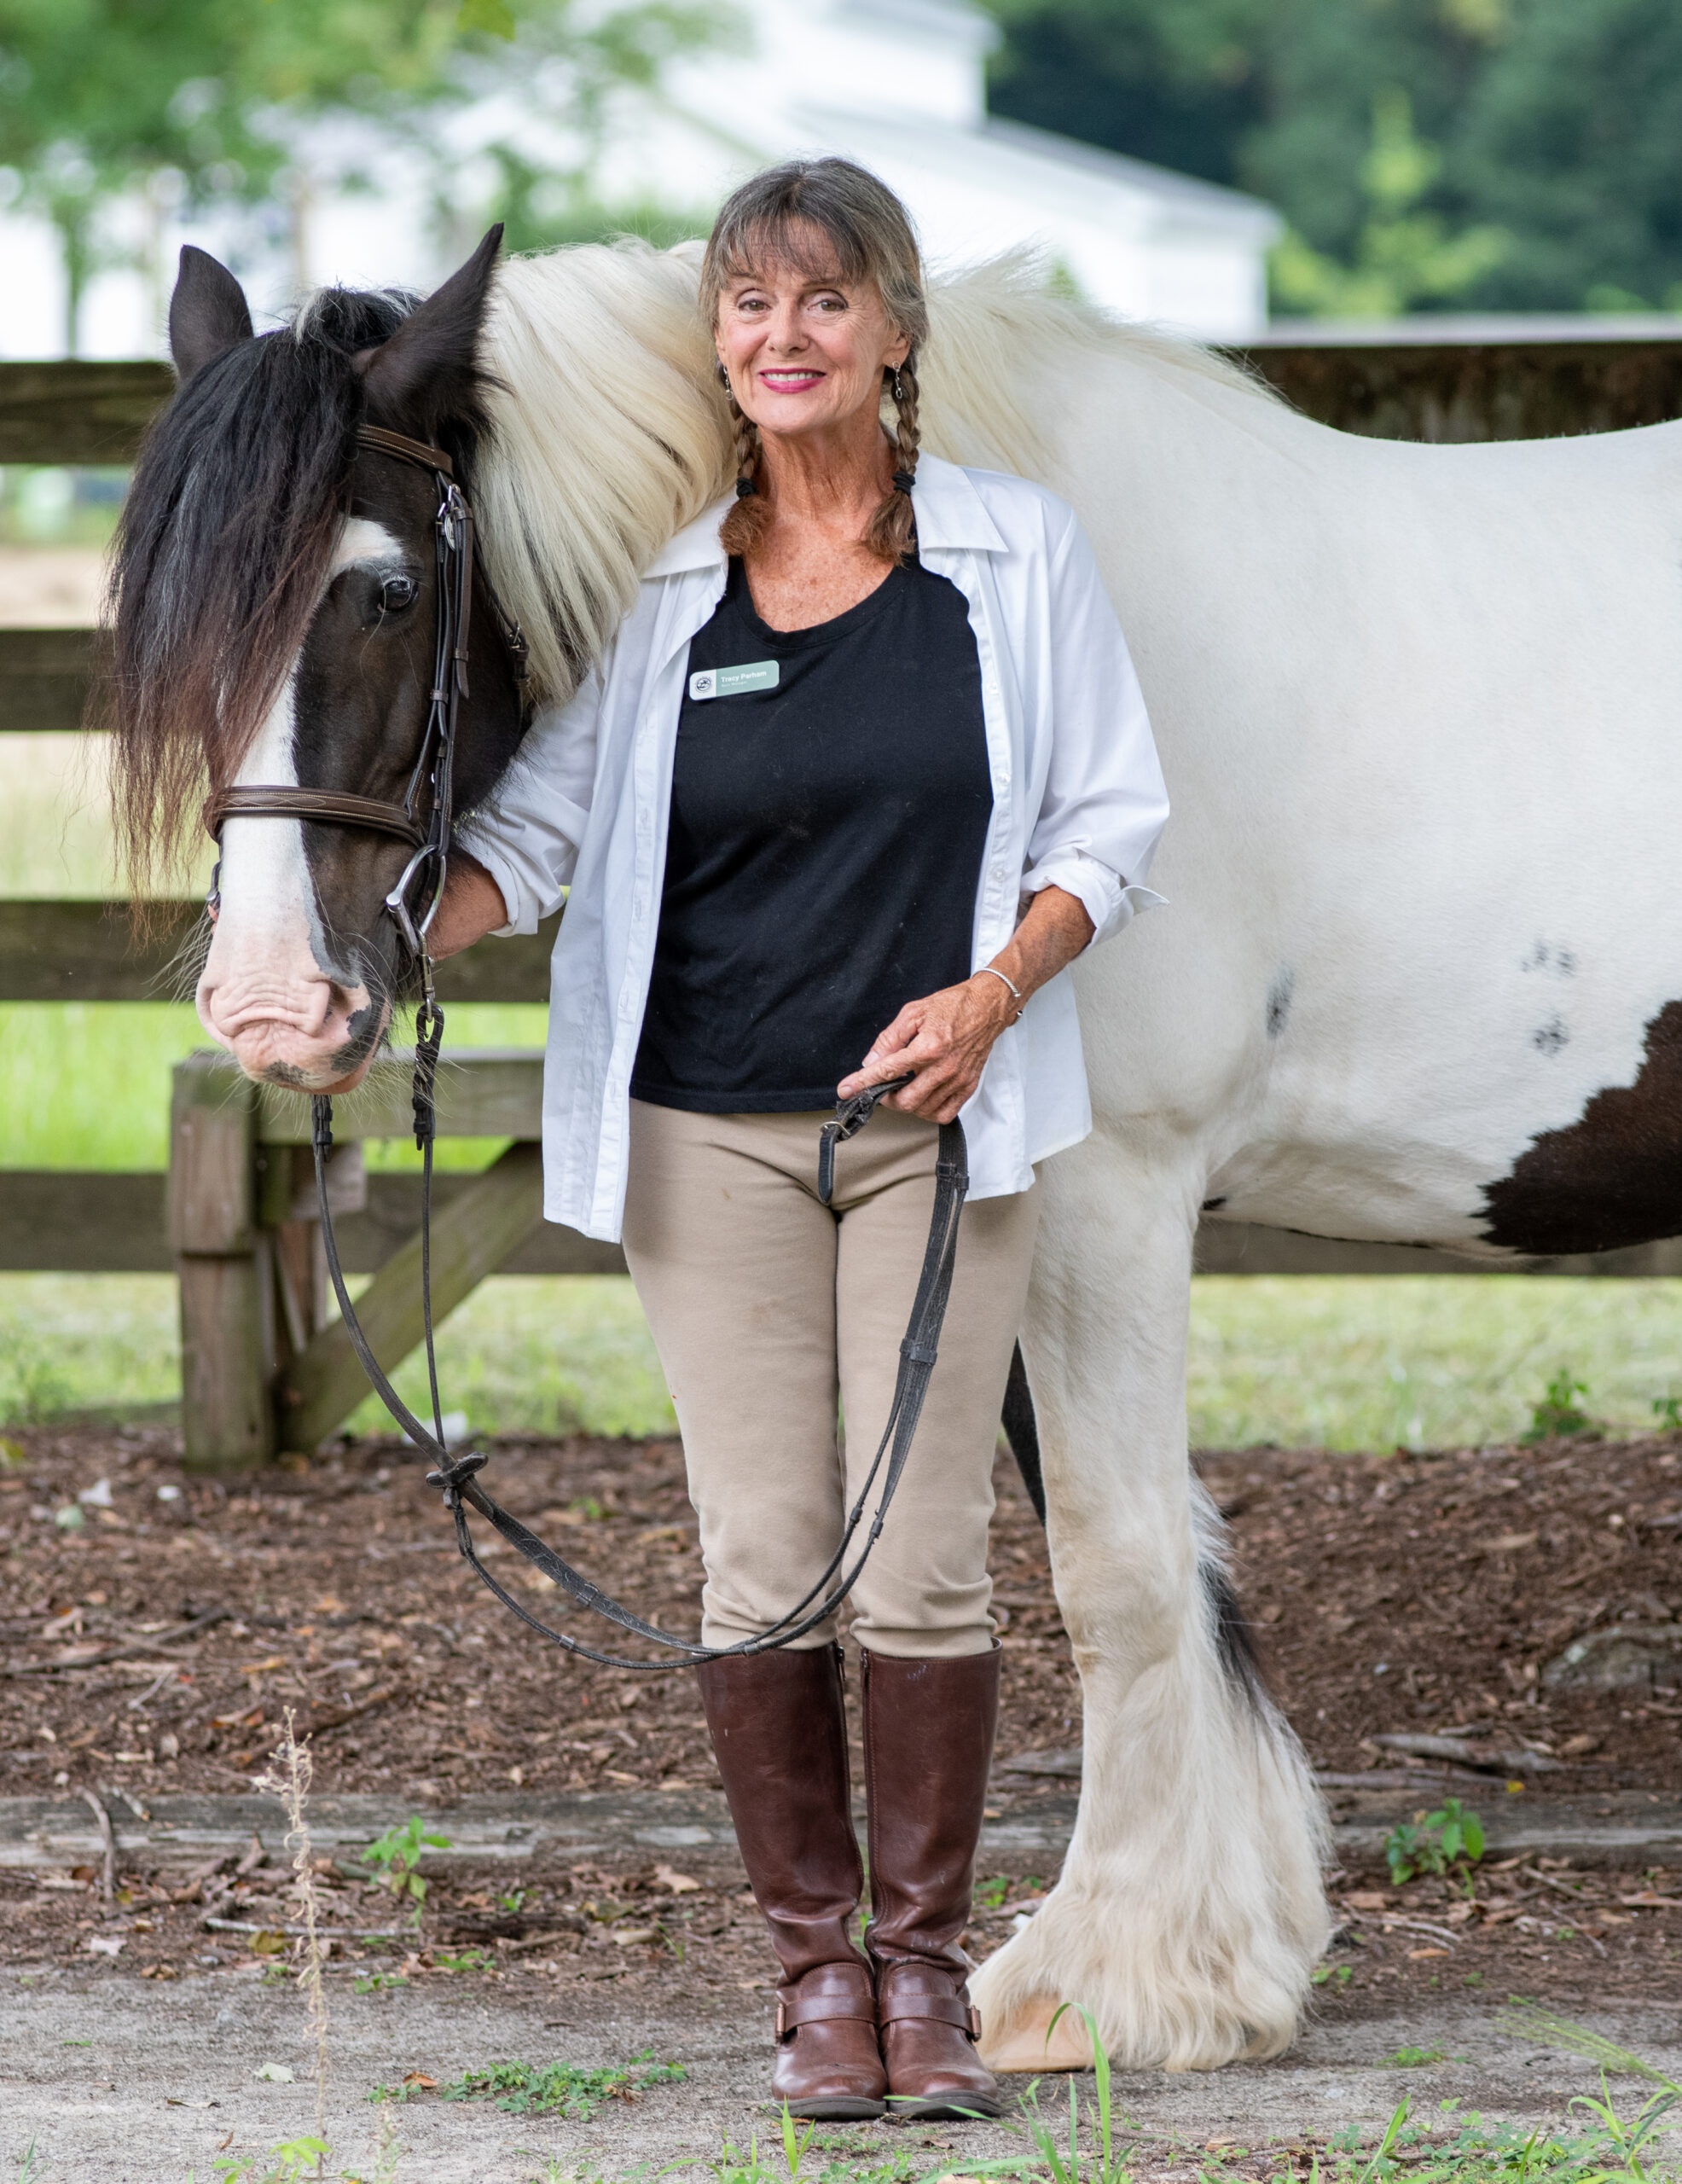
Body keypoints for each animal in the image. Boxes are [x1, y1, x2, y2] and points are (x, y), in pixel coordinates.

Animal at [109, 227, 1682, 2075]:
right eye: (161, 618)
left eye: (383, 593)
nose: (272, 1003)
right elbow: (1147, 1553)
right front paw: (1227, 1946)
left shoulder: (1104, 1193)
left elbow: (1115, 1562)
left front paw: (1109, 1977)